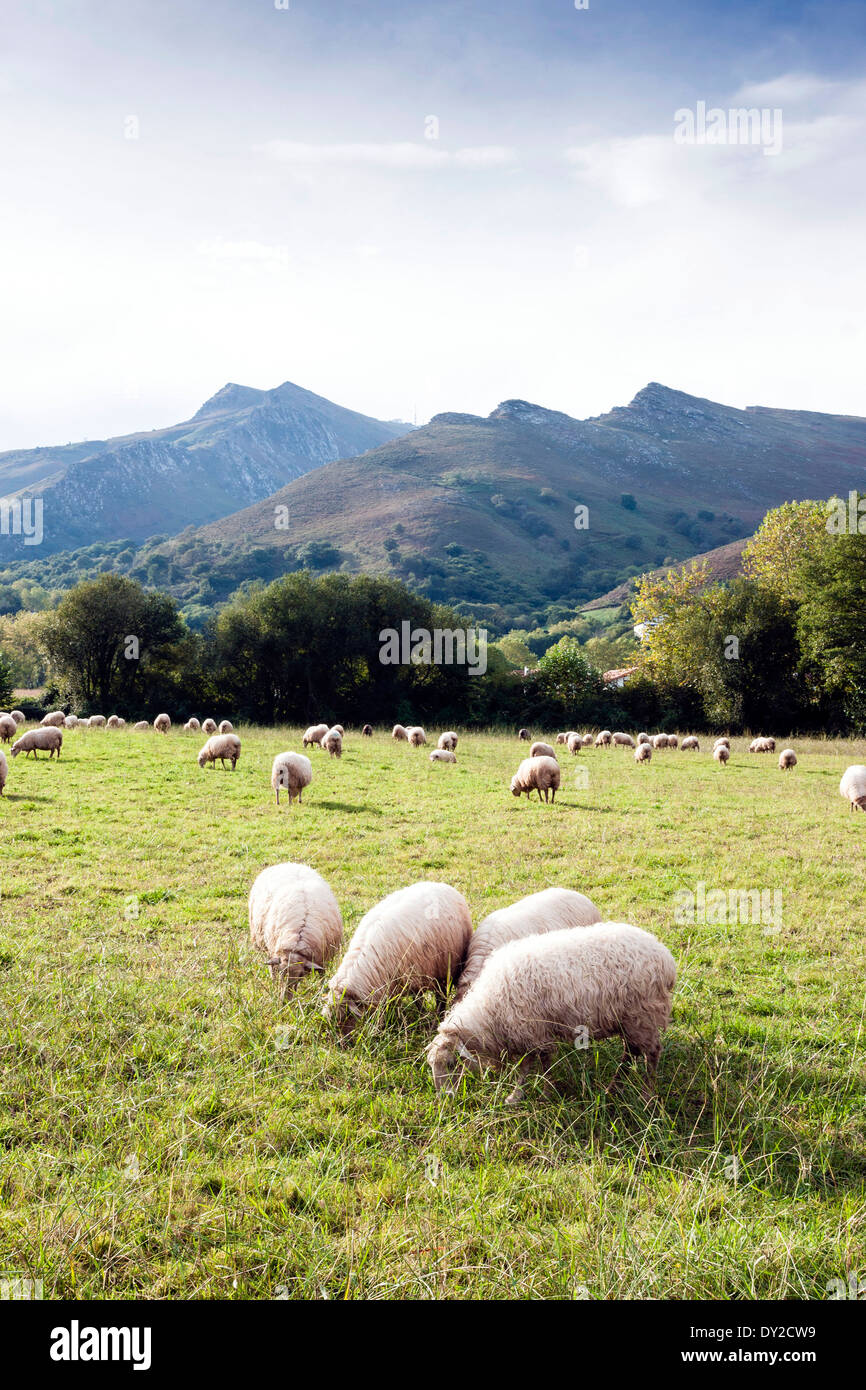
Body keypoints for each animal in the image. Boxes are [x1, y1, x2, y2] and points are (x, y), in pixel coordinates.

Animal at [249, 862, 343, 999]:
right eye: (282, 973)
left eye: (300, 975)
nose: (285, 1001)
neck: (296, 944)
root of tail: (288, 863)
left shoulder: (322, 958)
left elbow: (322, 974)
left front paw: (322, 990)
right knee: (270, 965)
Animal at [323, 881, 472, 1037]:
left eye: (347, 1016)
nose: (343, 1041)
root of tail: (441, 884)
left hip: (445, 968)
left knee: (441, 996)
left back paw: (438, 1017)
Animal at [428, 922, 676, 1104]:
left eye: (450, 1064)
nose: (445, 1099)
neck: (490, 1010)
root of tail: (665, 956)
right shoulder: (526, 1034)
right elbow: (527, 1067)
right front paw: (516, 1096)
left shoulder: (535, 1031)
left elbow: (541, 1066)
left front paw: (545, 1094)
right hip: (630, 1019)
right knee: (631, 1052)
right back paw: (614, 1088)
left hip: (643, 1015)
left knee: (652, 1053)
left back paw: (647, 1094)